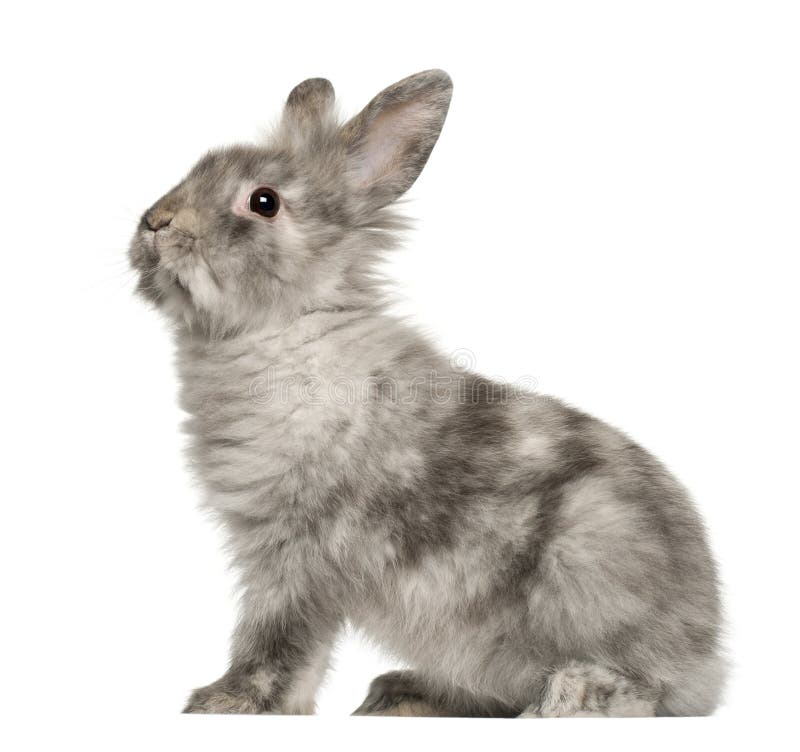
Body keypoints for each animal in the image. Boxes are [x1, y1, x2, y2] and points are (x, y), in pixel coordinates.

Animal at [129, 69, 724, 717]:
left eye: (264, 201)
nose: (155, 222)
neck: (283, 329)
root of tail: (706, 661)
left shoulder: (298, 552)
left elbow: (280, 641)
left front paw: (223, 704)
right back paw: (400, 694)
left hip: (586, 568)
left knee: (640, 689)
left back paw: (564, 699)